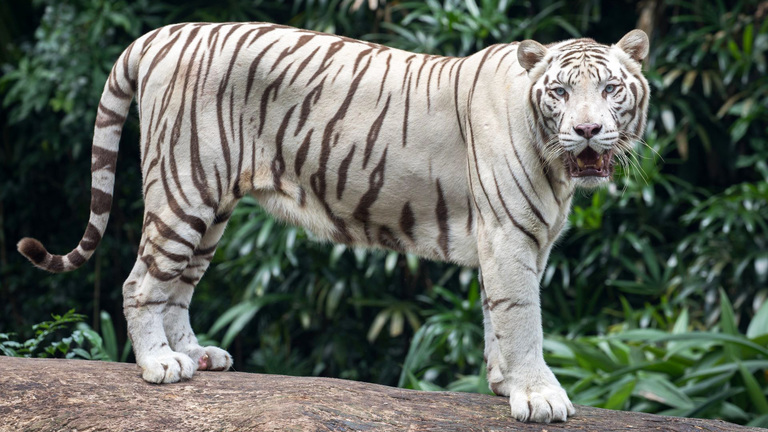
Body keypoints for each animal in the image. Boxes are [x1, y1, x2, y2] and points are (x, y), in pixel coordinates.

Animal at [17, 22, 650, 423]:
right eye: (560, 92)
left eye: (611, 89)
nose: (588, 131)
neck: (558, 166)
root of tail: (161, 34)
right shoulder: (510, 236)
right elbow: (523, 318)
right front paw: (539, 397)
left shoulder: (515, 242)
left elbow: (498, 316)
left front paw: (502, 384)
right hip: (184, 188)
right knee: (141, 282)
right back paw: (159, 365)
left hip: (211, 206)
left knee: (177, 287)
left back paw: (196, 356)